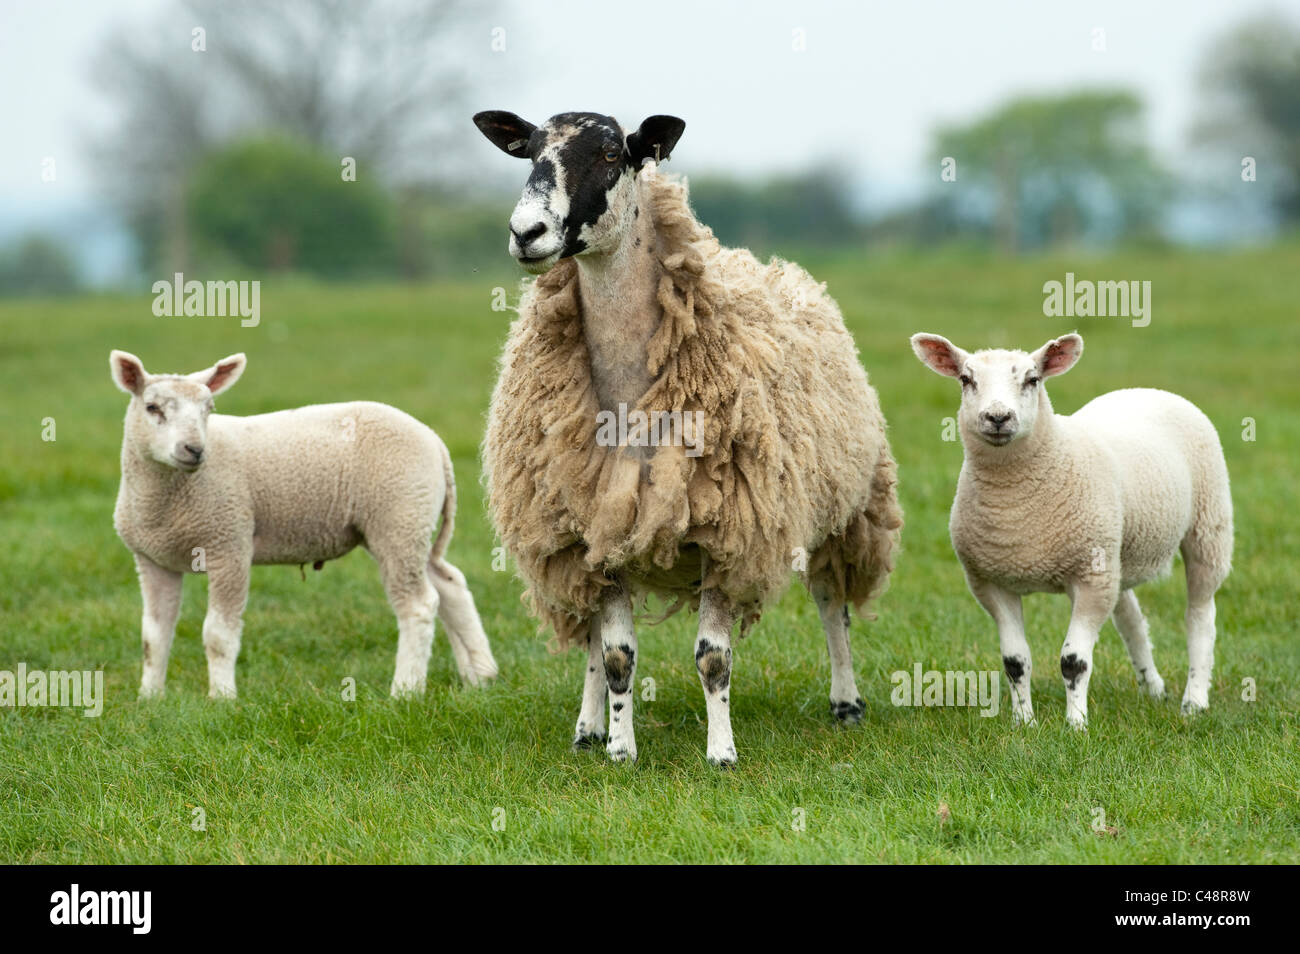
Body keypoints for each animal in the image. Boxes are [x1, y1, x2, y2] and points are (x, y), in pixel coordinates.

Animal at [109, 350, 498, 699]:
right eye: (152, 408)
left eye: (209, 409)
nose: (194, 450)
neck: (166, 500)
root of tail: (434, 440)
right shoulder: (152, 560)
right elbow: (153, 637)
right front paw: (149, 699)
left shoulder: (228, 545)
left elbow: (218, 635)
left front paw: (222, 698)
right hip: (408, 525)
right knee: (450, 586)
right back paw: (481, 675)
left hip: (399, 517)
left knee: (418, 605)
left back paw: (405, 691)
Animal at [474, 110, 903, 765]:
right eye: (529, 153)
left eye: (610, 154)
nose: (528, 232)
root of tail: (777, 267)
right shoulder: (597, 527)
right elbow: (616, 655)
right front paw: (619, 750)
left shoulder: (730, 532)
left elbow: (713, 659)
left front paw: (721, 753)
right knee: (594, 637)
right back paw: (587, 728)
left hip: (842, 509)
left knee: (833, 606)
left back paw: (846, 704)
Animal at [910, 332, 1233, 727]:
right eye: (965, 380)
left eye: (1033, 379)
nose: (998, 417)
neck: (1015, 505)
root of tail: (1146, 389)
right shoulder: (991, 583)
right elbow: (1015, 662)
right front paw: (1024, 722)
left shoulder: (1089, 580)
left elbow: (1074, 661)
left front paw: (1076, 724)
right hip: (1112, 553)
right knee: (1131, 619)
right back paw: (1153, 687)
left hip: (1208, 526)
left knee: (1200, 618)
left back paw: (1194, 700)